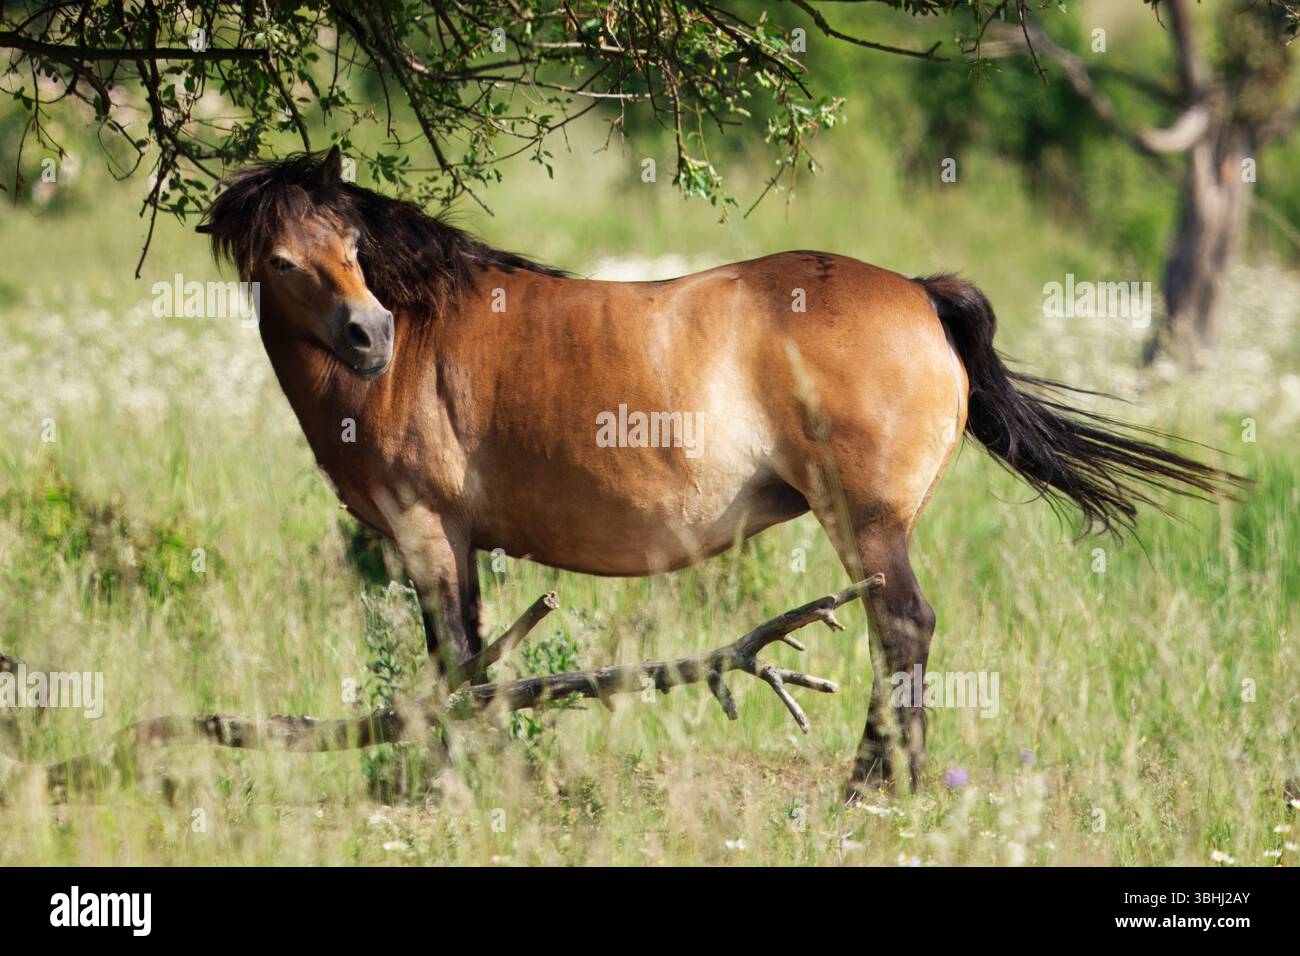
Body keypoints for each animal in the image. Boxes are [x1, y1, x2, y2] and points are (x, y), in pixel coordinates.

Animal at [197, 147, 1240, 793]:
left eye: (353, 245)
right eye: (281, 258)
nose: (368, 335)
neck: (424, 335)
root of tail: (920, 294)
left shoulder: (426, 532)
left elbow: (458, 662)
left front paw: (478, 781)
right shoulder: (452, 543)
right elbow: (474, 660)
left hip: (866, 524)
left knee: (902, 629)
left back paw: (875, 787)